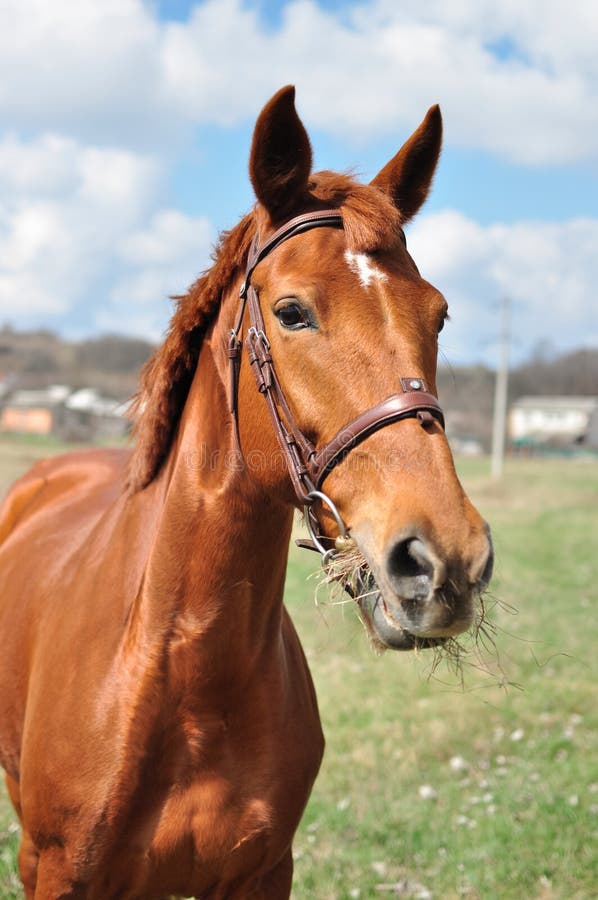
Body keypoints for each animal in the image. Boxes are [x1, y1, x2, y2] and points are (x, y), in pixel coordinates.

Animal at [0, 86, 493, 899]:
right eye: (292, 311)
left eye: (440, 313)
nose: (446, 562)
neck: (191, 680)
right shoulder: (59, 871)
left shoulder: (262, 872)